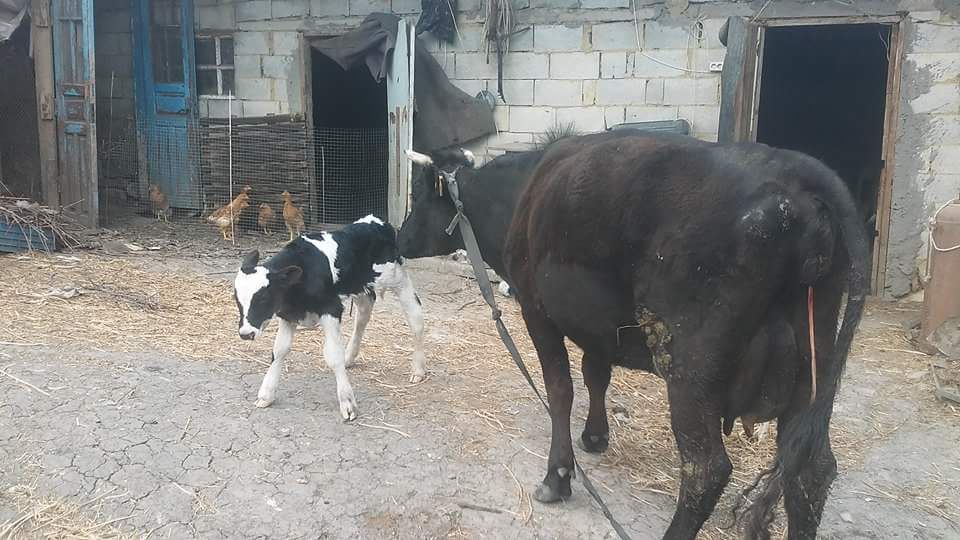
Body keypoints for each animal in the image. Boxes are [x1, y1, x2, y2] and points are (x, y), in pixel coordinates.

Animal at [233, 215, 426, 421]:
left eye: (263, 298)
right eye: (236, 299)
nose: (245, 333)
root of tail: (377, 222)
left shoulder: (331, 309)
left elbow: (333, 355)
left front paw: (347, 403)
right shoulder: (288, 315)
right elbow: (279, 351)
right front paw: (266, 394)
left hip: (399, 280)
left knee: (416, 319)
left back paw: (418, 369)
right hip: (361, 289)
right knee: (363, 316)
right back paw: (350, 357)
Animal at [398, 131, 867, 539]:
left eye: (417, 195)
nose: (400, 240)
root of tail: (798, 171)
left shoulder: (538, 310)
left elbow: (560, 390)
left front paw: (558, 476)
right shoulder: (598, 324)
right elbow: (596, 375)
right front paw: (595, 437)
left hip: (691, 365)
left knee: (706, 470)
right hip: (812, 365)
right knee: (812, 472)